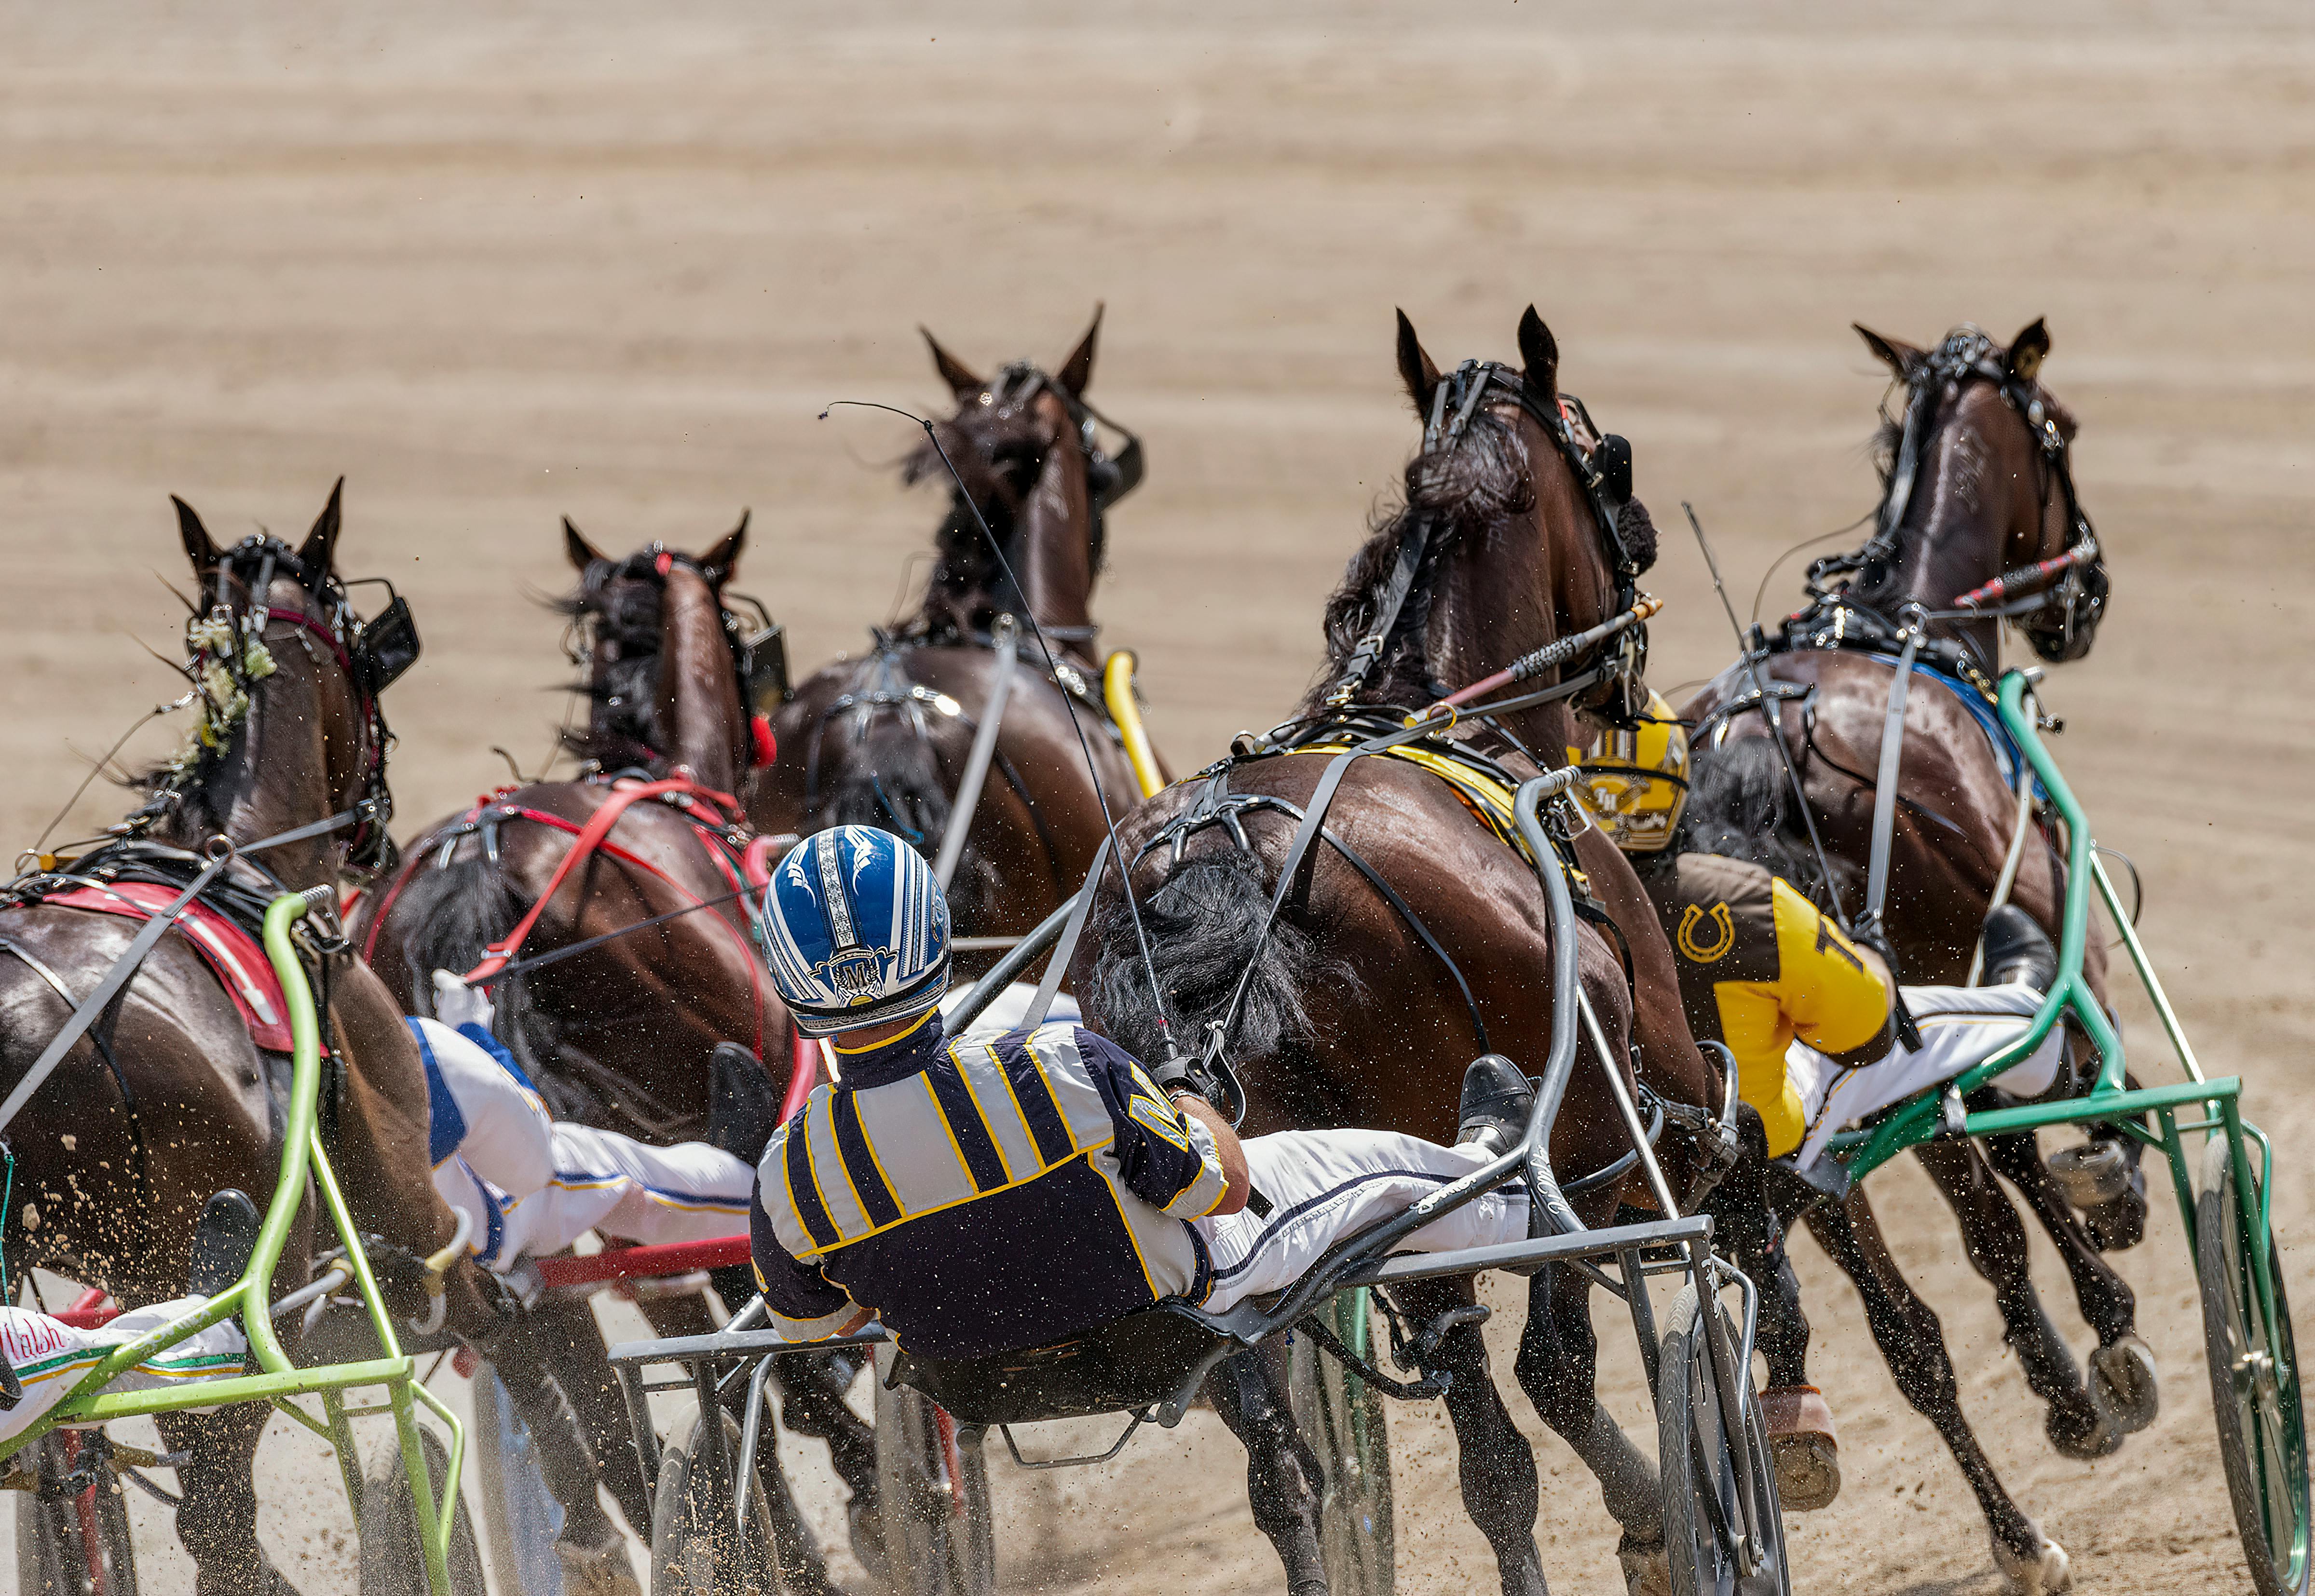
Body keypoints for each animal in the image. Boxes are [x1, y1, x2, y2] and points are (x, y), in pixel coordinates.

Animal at [0, 485, 501, 1596]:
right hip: (217, 1300)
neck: (239, 857)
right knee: (219, 1526)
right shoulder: (400, 1191)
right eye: (368, 662)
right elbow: (441, 1290)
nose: (378, 833)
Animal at [1079, 309, 1729, 1596]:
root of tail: (1216, 856)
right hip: (1560, 1144)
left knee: (1298, 1465)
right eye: (1611, 461)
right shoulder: (1655, 1118)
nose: (1635, 607)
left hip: (1290, 1228)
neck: (1435, 702)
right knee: (1543, 1379)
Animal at [1681, 320, 2134, 1590]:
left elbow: (1982, 1218)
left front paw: (2064, 1370)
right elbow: (2042, 1139)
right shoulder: (2009, 944)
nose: (2083, 594)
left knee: (1907, 1333)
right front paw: (2108, 1283)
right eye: (2060, 428)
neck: (1906, 622)